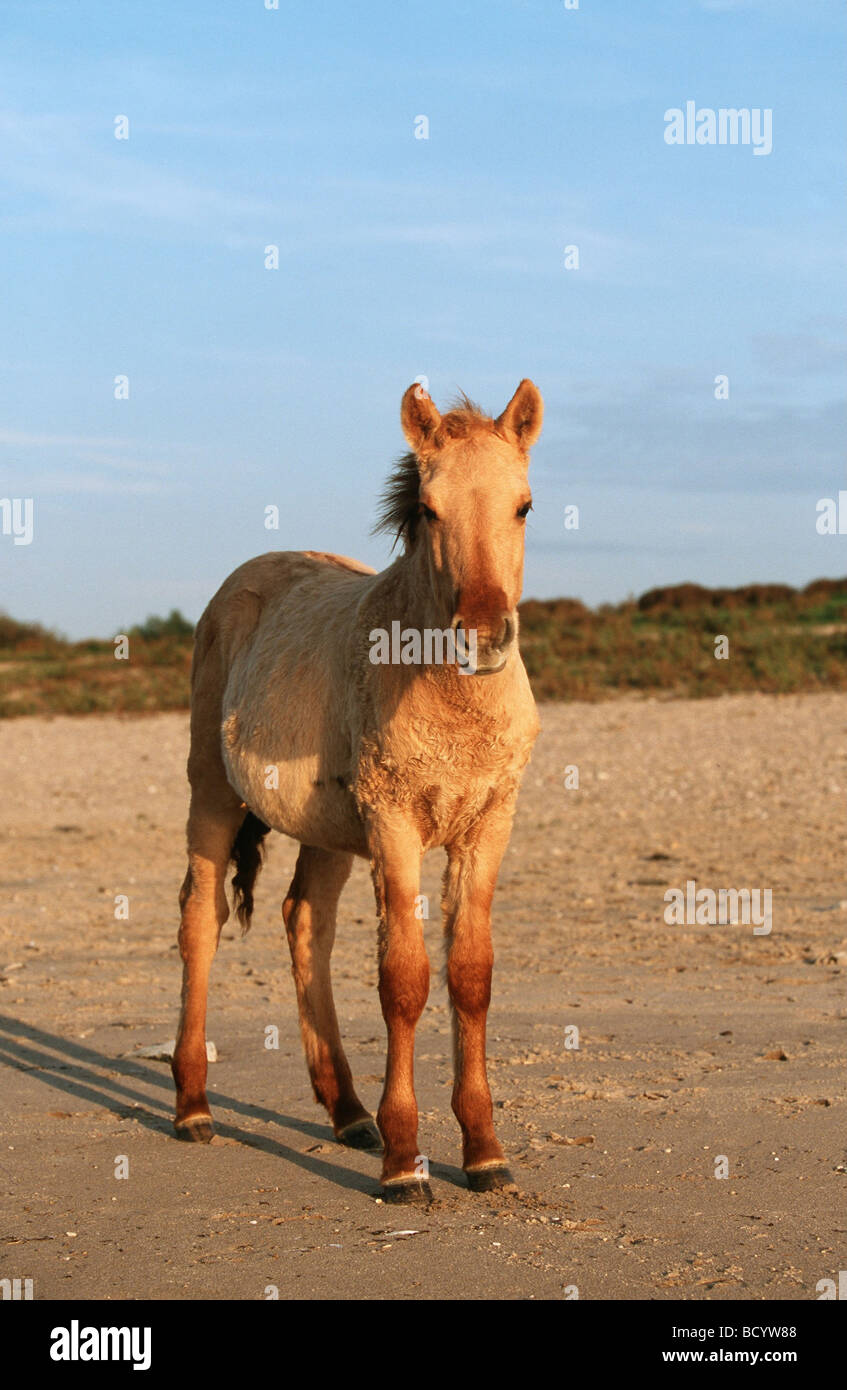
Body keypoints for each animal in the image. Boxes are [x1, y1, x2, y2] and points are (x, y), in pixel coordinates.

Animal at [171, 379, 543, 1202]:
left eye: (524, 506)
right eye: (429, 509)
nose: (481, 636)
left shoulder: (488, 826)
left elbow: (470, 975)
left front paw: (484, 1151)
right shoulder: (393, 824)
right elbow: (403, 979)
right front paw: (405, 1164)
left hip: (326, 830)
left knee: (304, 921)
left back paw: (346, 1112)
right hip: (213, 794)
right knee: (201, 920)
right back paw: (191, 1107)